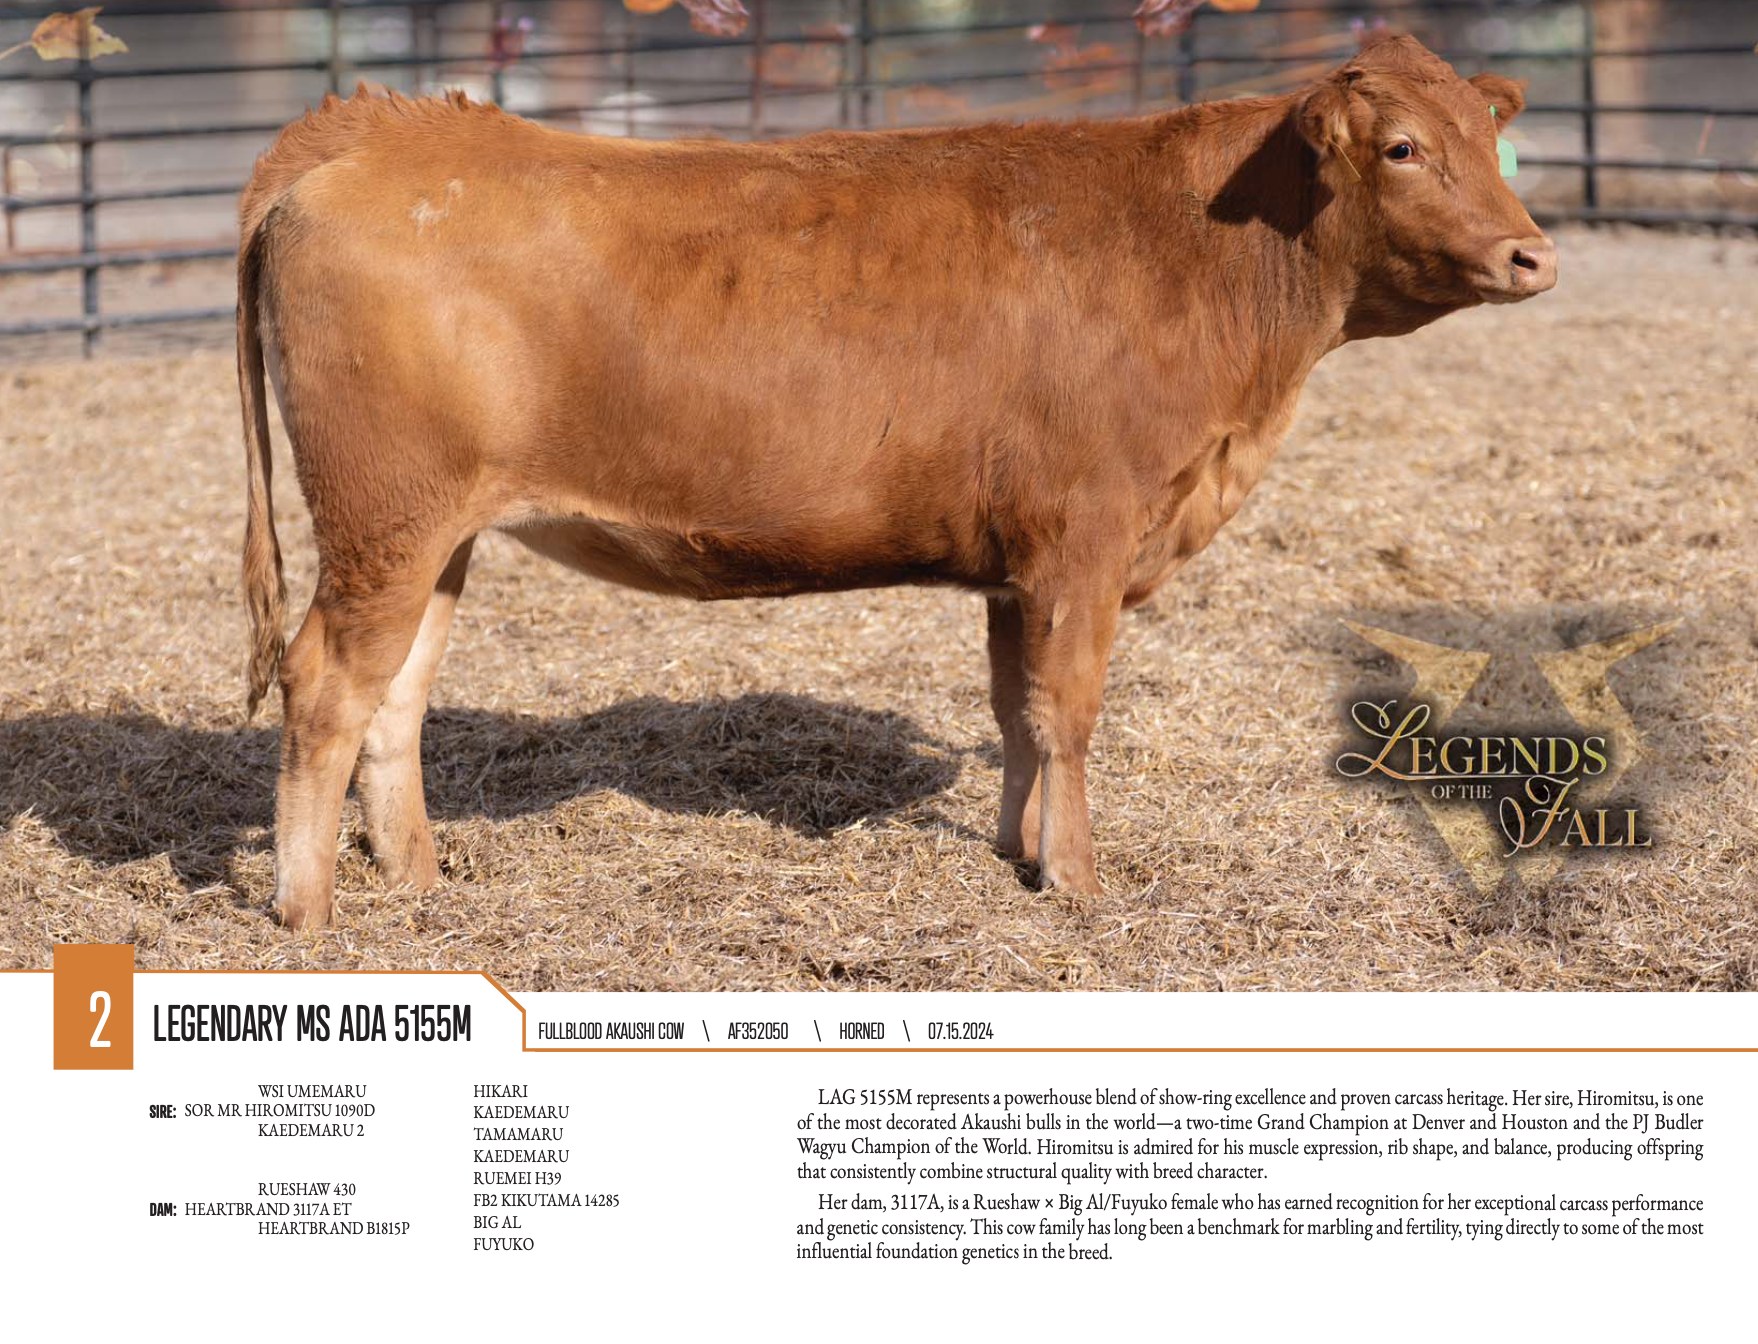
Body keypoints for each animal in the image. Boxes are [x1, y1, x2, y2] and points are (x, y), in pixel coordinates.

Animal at [237, 33, 1556, 929]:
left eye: (1492, 142)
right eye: (1403, 148)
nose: (1532, 252)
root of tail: (379, 128)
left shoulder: (1020, 568)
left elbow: (1017, 714)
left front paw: (1022, 854)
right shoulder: (1084, 537)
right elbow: (1069, 713)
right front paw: (1080, 882)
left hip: (433, 536)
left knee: (395, 698)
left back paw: (417, 878)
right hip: (386, 525)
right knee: (325, 687)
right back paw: (310, 909)